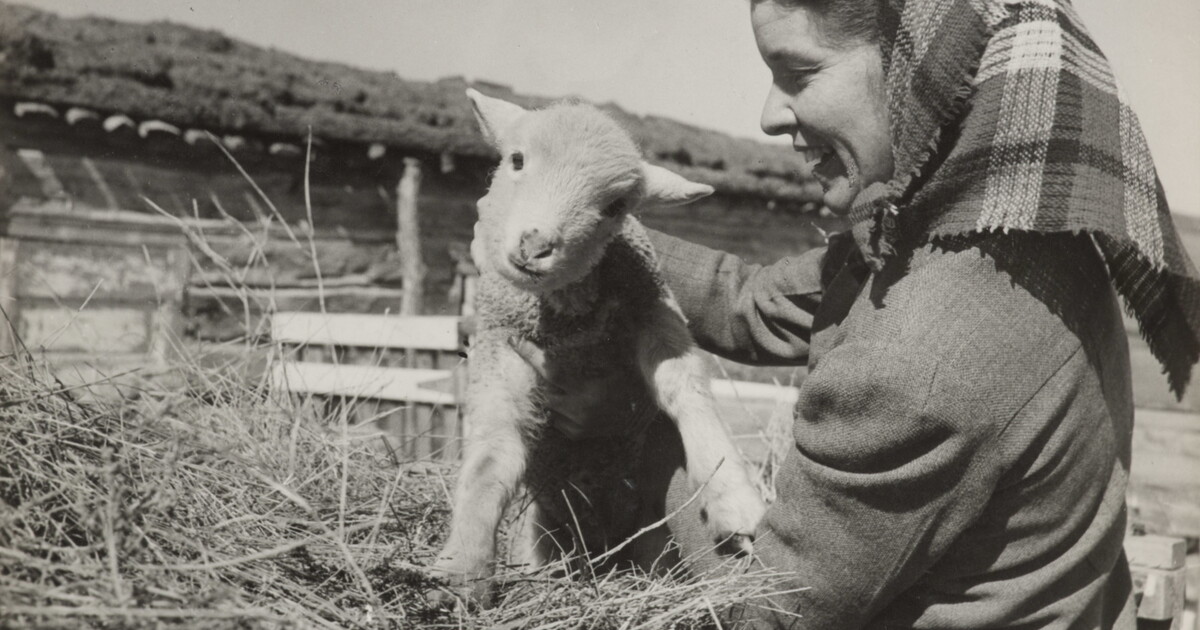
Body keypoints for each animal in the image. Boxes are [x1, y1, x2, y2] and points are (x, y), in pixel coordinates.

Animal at [427, 89, 766, 606]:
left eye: (616, 206)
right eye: (517, 159)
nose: (535, 244)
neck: (569, 326)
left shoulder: (654, 309)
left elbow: (684, 388)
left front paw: (732, 495)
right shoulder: (501, 347)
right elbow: (491, 454)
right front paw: (462, 571)